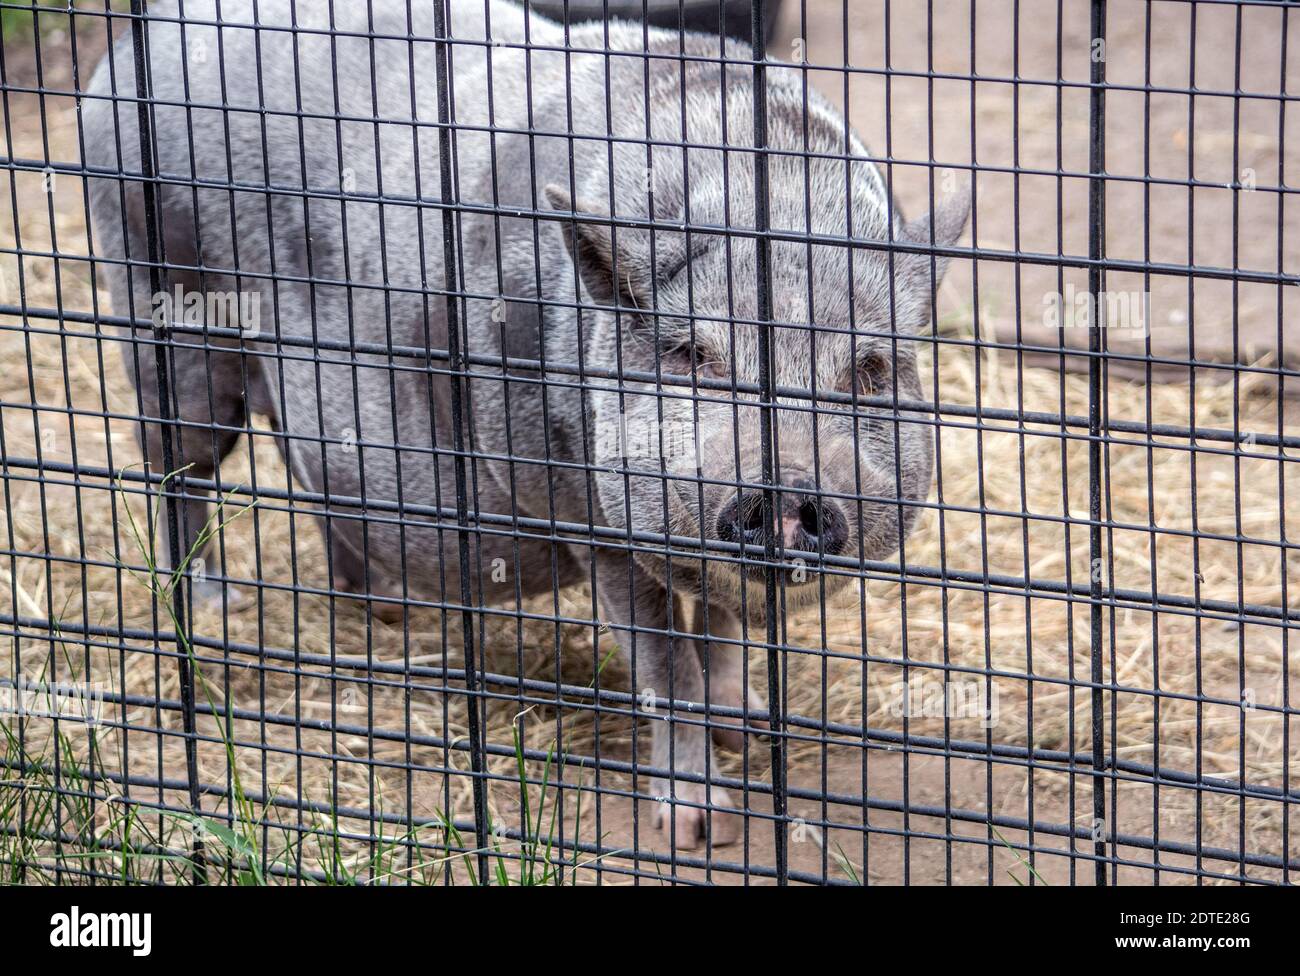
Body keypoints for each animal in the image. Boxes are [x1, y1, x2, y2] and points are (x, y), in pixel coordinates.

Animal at [83, 0, 967, 849]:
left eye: (872, 369)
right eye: (691, 354)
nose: (783, 494)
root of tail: (127, 49)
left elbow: (720, 631)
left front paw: (744, 728)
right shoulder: (588, 511)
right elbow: (665, 667)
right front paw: (700, 831)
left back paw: (386, 611)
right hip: (161, 305)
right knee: (182, 469)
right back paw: (211, 607)